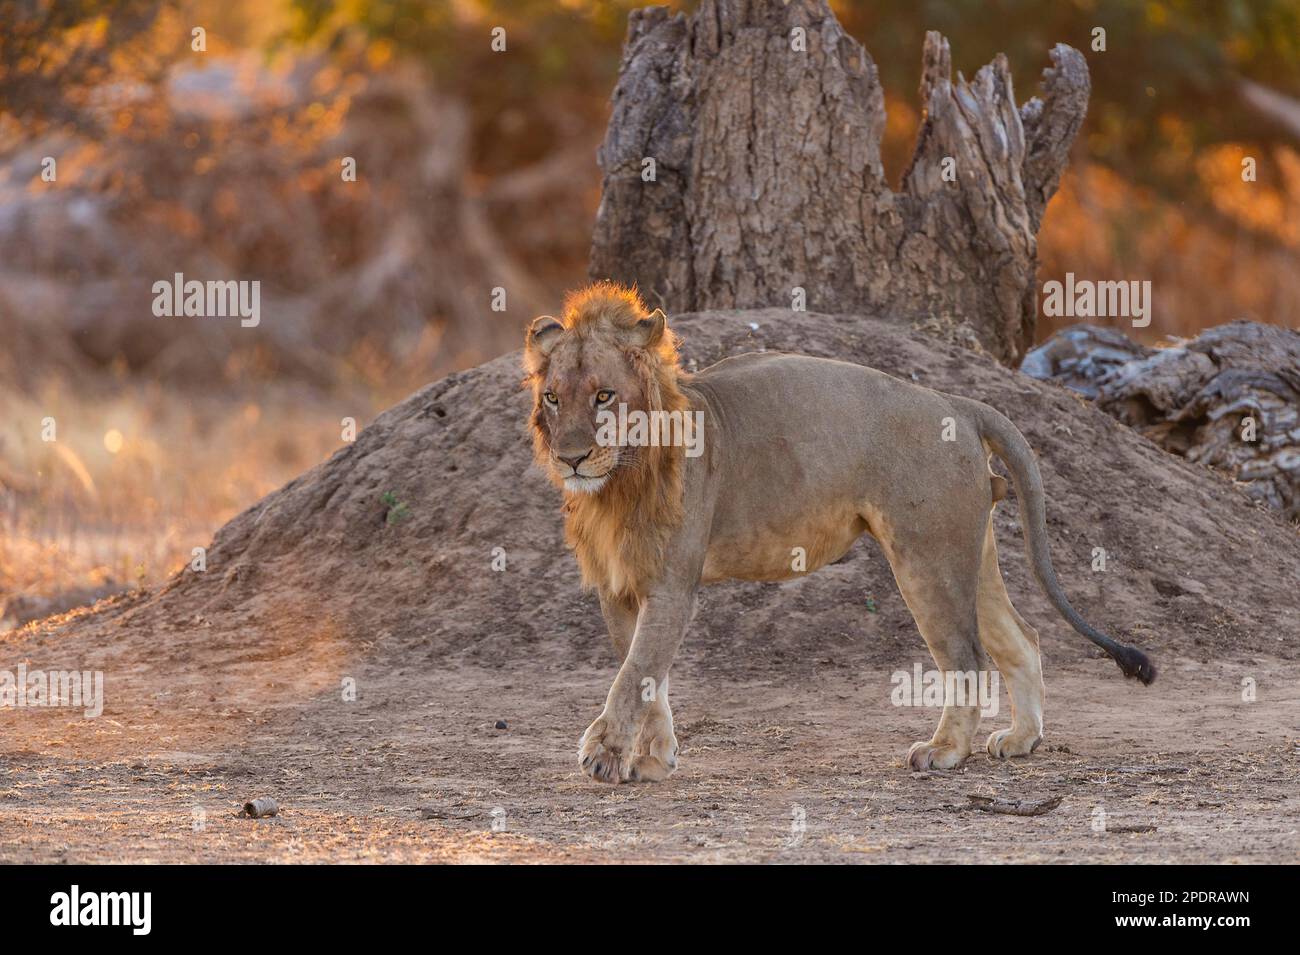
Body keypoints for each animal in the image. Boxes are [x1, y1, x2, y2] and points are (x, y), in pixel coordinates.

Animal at [524, 283, 1155, 784]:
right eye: (553, 397)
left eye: (604, 395)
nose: (570, 458)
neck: (618, 483)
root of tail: (956, 402)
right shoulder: (619, 587)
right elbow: (646, 675)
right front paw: (655, 758)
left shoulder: (672, 585)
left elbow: (632, 675)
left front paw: (603, 755)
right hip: (968, 554)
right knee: (1022, 637)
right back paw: (1022, 740)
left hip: (926, 556)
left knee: (967, 654)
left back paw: (945, 751)